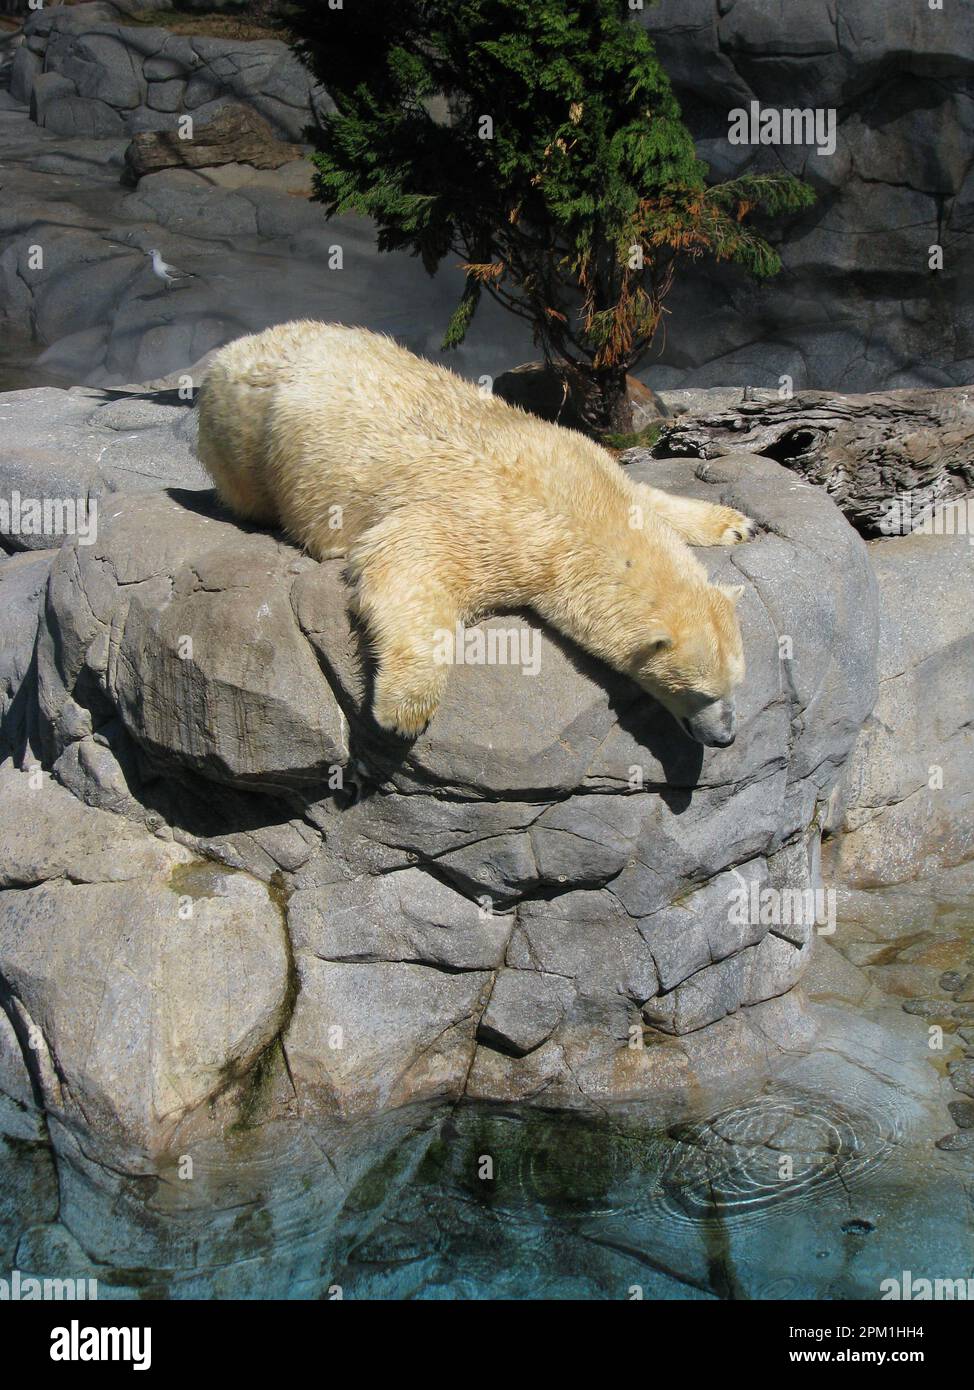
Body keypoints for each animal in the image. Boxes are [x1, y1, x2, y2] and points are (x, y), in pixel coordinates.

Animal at [196, 321, 752, 745]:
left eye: (737, 684)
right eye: (700, 694)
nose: (725, 738)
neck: (576, 505)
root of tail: (237, 346)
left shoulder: (593, 467)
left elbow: (651, 497)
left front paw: (735, 524)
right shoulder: (505, 529)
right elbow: (405, 561)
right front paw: (405, 711)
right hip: (246, 425)